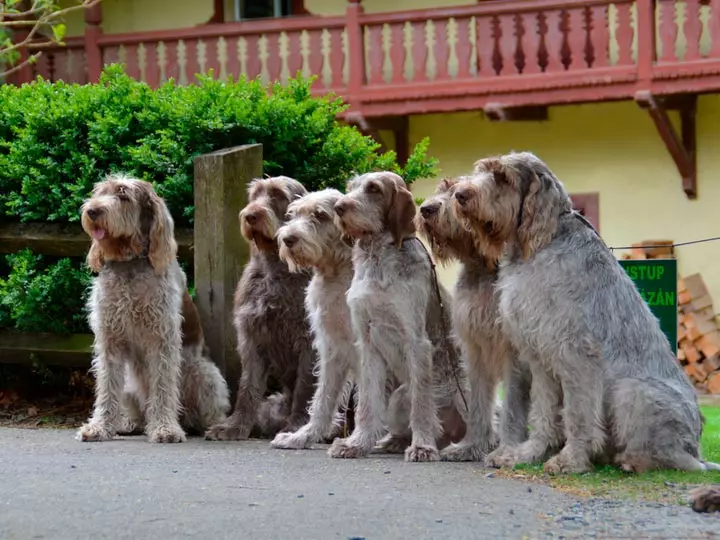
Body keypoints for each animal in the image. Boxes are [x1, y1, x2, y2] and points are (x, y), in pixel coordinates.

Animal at [76, 175, 228, 446]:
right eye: (100, 193)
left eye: (123, 196)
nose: (92, 210)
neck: (130, 263)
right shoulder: (110, 340)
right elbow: (107, 388)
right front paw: (99, 427)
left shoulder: (162, 340)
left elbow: (163, 387)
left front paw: (166, 429)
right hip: (130, 383)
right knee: (137, 411)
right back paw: (128, 424)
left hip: (205, 373)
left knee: (209, 411)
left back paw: (215, 427)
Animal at [202, 175, 316, 440]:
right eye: (255, 195)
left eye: (278, 195)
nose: (250, 216)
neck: (276, 267)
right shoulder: (252, 335)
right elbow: (248, 387)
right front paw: (234, 427)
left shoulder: (308, 339)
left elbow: (305, 387)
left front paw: (297, 426)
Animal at [330, 171, 470, 462]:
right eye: (351, 188)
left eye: (374, 189)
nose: (338, 207)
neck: (378, 259)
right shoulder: (367, 343)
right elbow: (367, 404)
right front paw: (356, 443)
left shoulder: (417, 342)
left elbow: (422, 404)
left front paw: (422, 447)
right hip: (396, 399)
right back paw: (394, 442)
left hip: (465, 392)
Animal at [416, 175, 528, 462]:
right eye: (442, 189)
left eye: (457, 193)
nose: (426, 209)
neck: (485, 268)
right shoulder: (473, 346)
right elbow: (477, 400)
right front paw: (472, 445)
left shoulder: (512, 349)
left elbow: (512, 402)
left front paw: (506, 449)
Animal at [452, 151, 712, 472]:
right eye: (482, 169)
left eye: (501, 176)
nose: (459, 194)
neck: (537, 247)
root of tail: (697, 450)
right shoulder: (539, 358)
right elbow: (544, 411)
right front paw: (527, 453)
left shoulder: (576, 353)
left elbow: (577, 413)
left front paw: (571, 459)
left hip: (630, 392)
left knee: (675, 458)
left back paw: (632, 460)